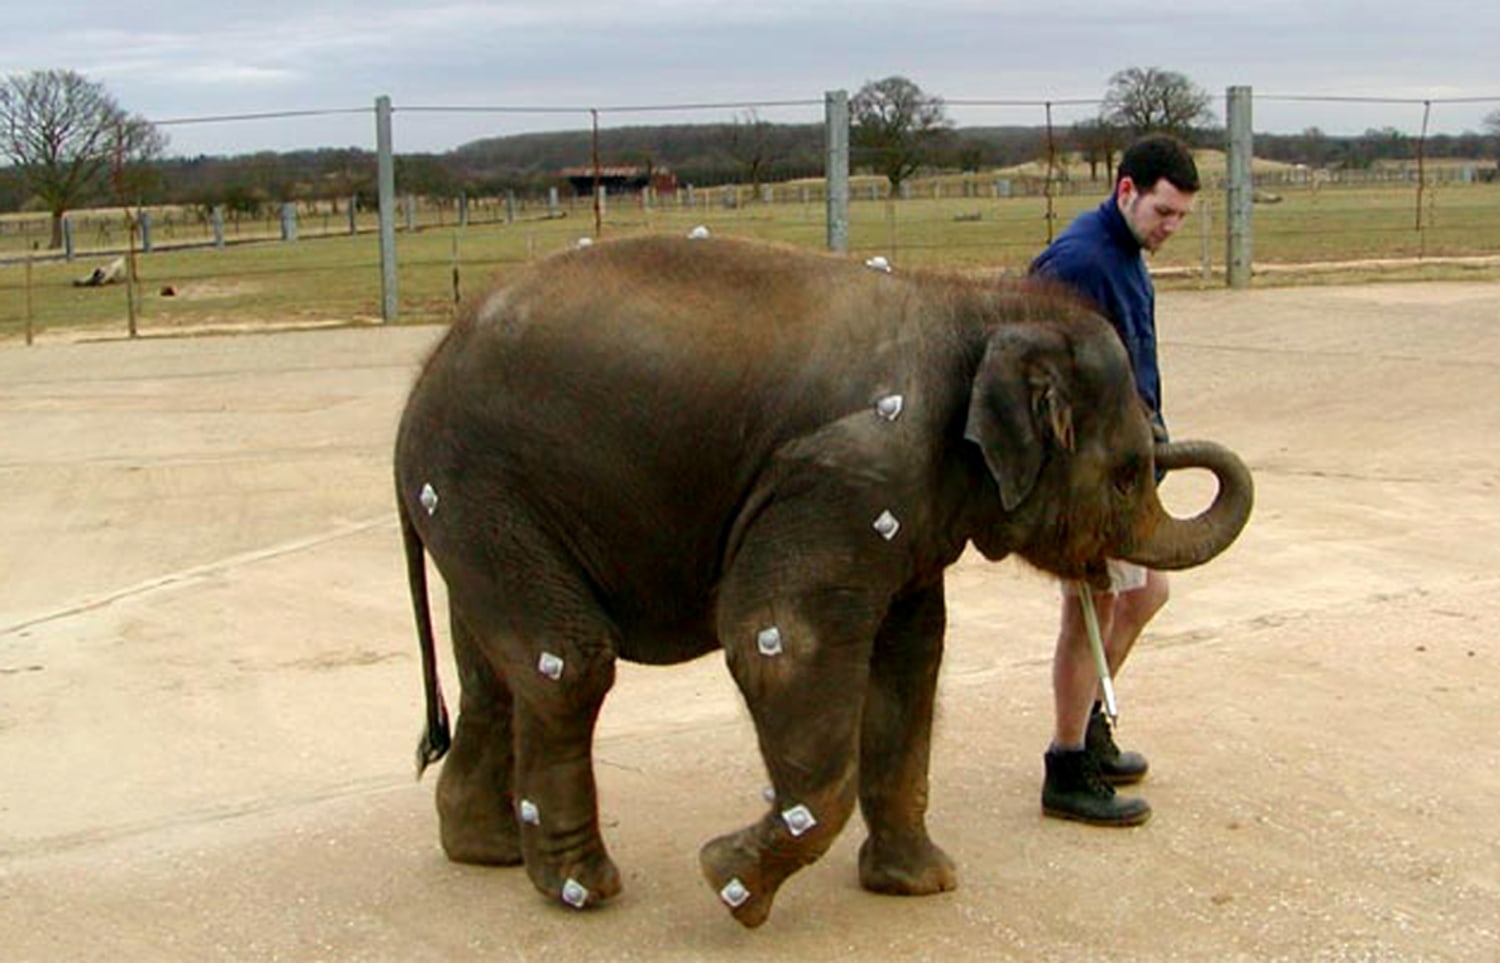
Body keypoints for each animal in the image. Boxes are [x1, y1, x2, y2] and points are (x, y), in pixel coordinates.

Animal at [394, 234, 1252, 928]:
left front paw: (920, 884)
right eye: (1128, 473)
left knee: (495, 672)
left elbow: (912, 660)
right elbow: (778, 642)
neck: (975, 306)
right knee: (567, 663)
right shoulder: (848, 481)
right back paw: (583, 889)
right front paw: (729, 884)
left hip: (482, 511)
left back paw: (487, 851)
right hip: (478, 483)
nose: (1171, 438)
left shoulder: (907, 514)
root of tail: (426, 369)